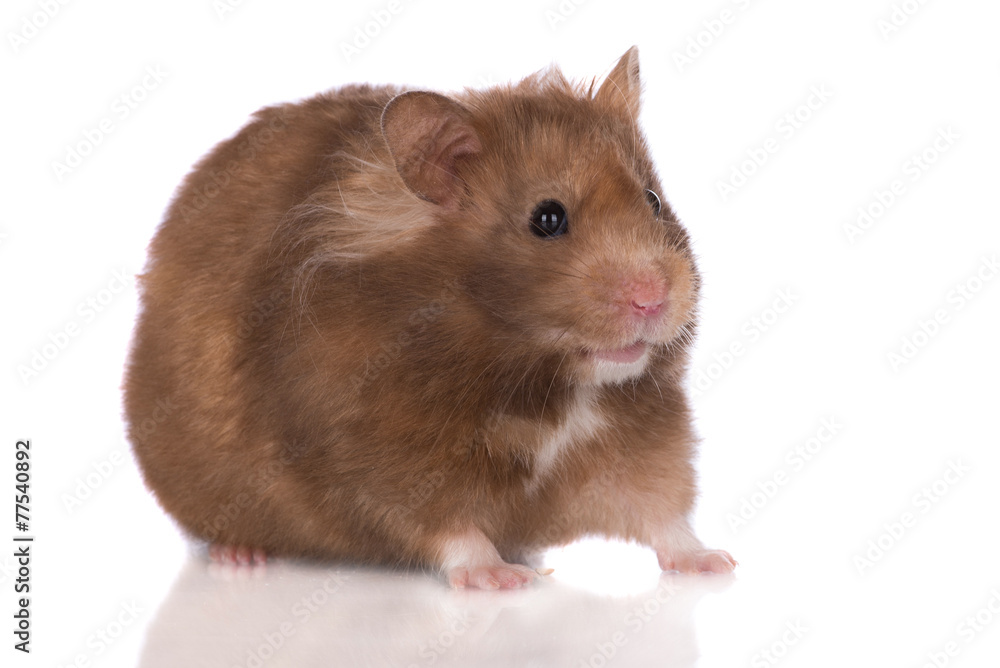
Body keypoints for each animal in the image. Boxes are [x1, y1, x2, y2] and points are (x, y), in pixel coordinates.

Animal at [124, 46, 736, 589]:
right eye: (548, 218)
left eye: (653, 200)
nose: (654, 299)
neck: (548, 382)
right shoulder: (385, 455)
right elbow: (449, 526)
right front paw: (500, 580)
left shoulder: (641, 432)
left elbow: (662, 510)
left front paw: (716, 563)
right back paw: (241, 556)